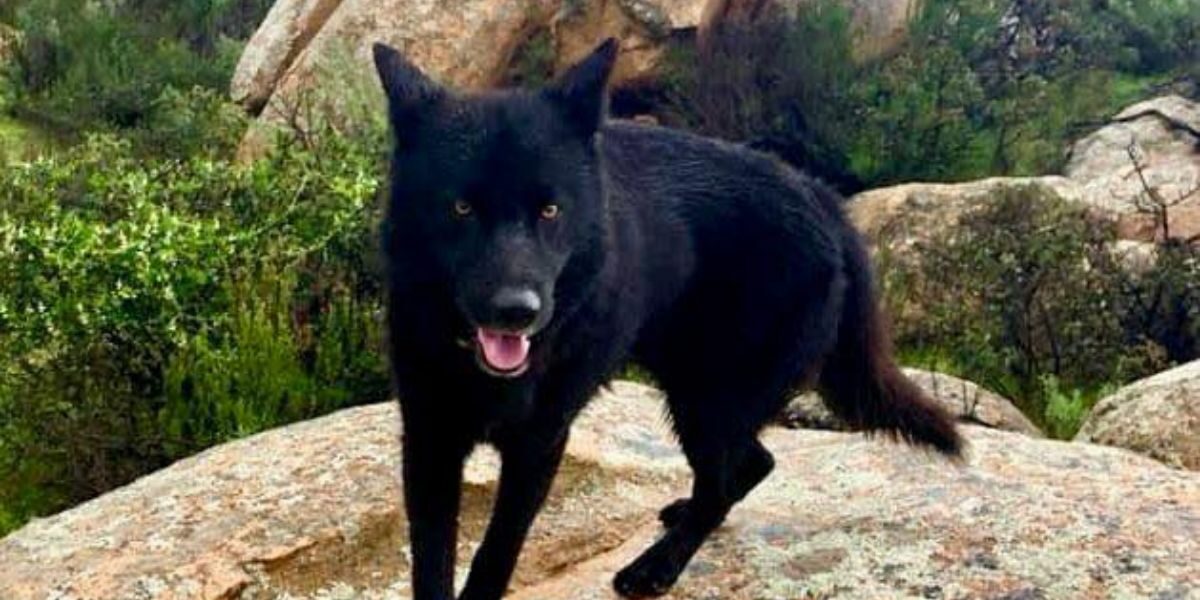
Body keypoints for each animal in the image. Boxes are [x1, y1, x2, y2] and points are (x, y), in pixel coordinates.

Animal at [374, 38, 962, 600]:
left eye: (550, 209)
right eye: (461, 208)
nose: (516, 312)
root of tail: (820, 195)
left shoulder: (538, 444)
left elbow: (496, 553)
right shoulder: (429, 439)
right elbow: (431, 560)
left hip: (707, 399)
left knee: (727, 479)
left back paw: (658, 565)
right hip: (695, 392)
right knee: (751, 464)